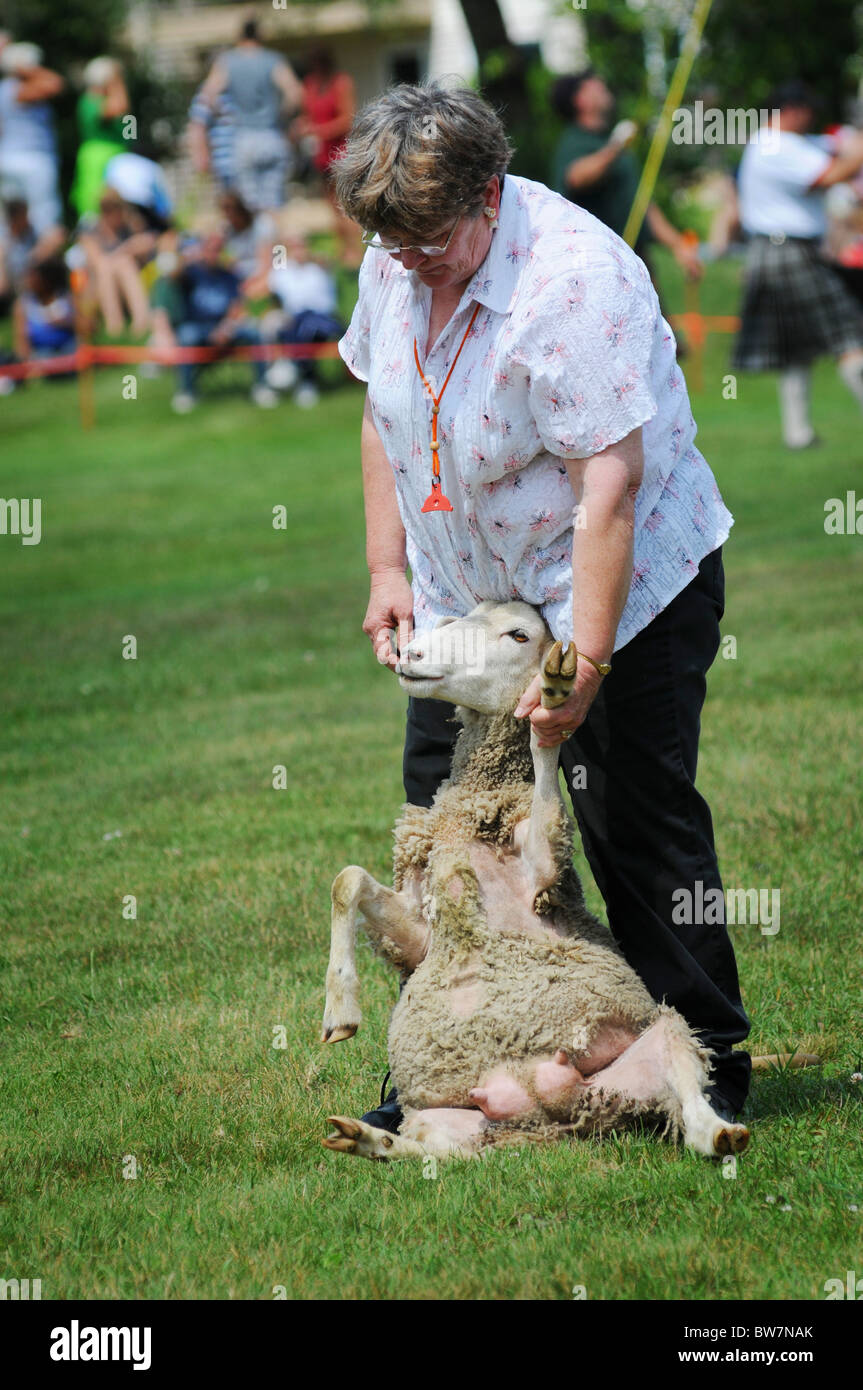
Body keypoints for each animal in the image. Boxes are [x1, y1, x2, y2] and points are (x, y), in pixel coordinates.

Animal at [321, 600, 750, 1162]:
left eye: (519, 635)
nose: (409, 653)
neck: (474, 807)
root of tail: (556, 1113)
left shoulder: (544, 866)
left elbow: (545, 753)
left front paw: (554, 689)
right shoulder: (419, 928)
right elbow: (346, 882)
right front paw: (339, 1012)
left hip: (663, 1034)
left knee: (688, 1092)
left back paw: (720, 1132)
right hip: (446, 1119)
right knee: (439, 1152)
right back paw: (366, 1138)